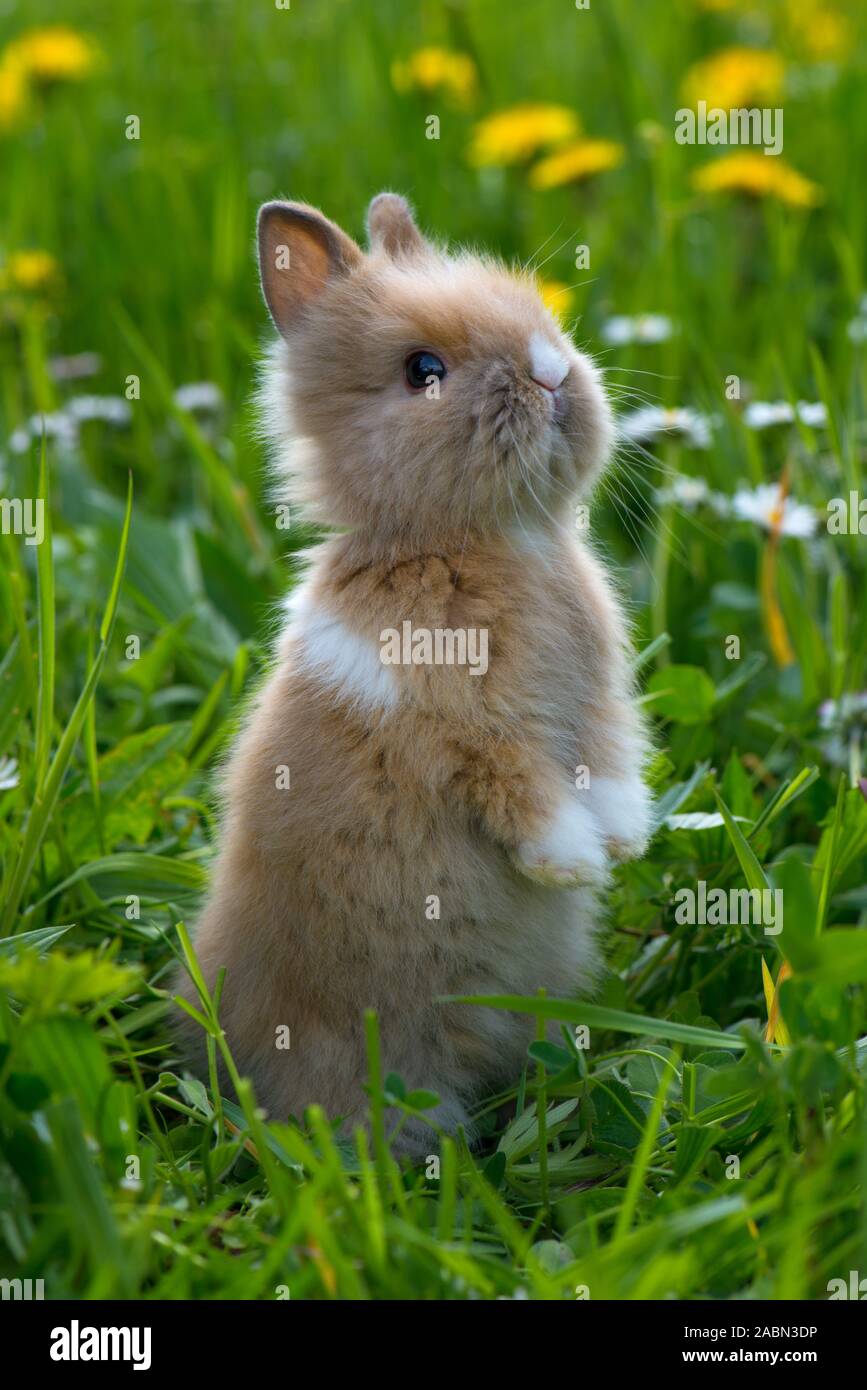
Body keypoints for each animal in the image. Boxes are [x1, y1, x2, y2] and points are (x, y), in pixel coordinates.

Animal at [175, 191, 652, 1158]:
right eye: (422, 371)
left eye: (543, 318)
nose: (552, 373)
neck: (485, 539)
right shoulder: (464, 729)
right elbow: (521, 786)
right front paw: (572, 864)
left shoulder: (597, 701)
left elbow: (610, 753)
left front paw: (624, 840)